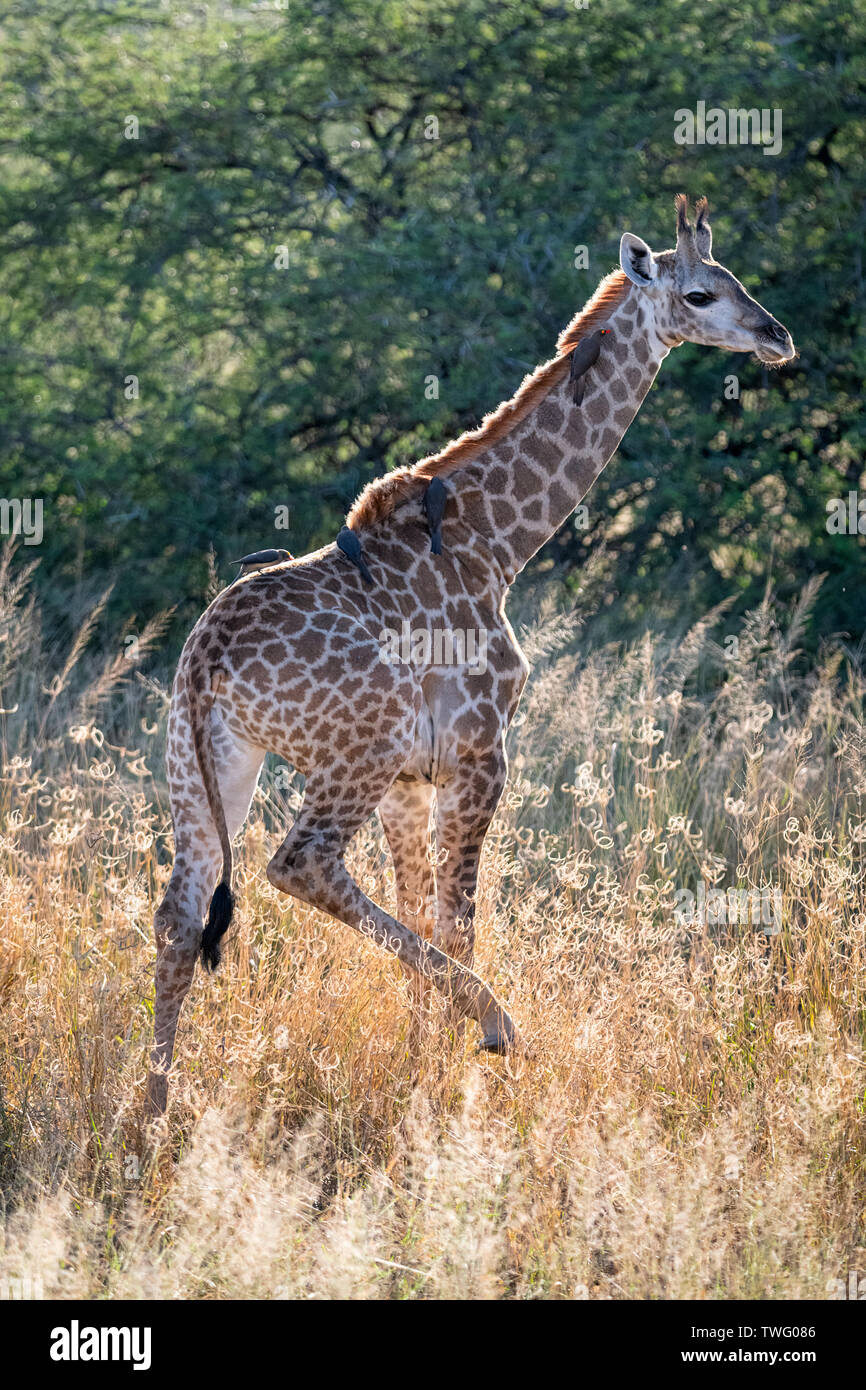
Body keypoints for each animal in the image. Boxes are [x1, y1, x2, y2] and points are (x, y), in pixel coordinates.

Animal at [146, 196, 795, 1114]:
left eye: (737, 280)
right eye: (702, 293)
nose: (777, 336)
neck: (497, 542)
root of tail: (207, 660)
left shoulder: (412, 780)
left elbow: (421, 910)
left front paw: (420, 1066)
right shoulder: (480, 750)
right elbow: (458, 917)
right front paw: (462, 1066)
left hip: (209, 764)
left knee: (180, 910)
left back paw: (153, 1112)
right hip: (359, 747)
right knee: (299, 864)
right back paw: (498, 1021)